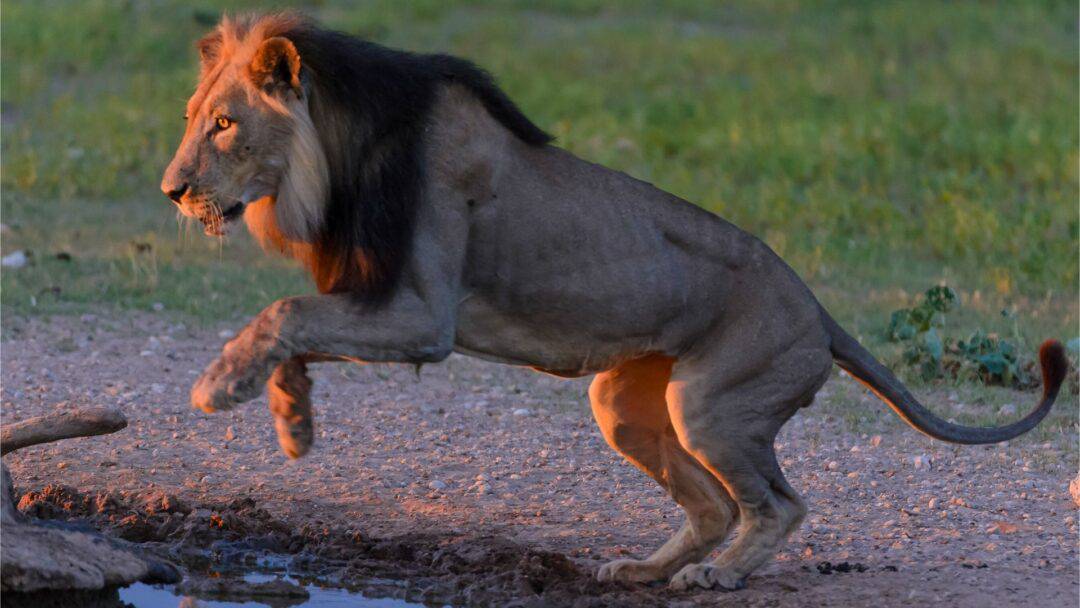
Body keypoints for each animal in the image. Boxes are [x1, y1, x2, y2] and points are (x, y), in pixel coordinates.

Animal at [161, 13, 1068, 591]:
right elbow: (298, 328)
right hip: (626, 404)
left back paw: (716, 577)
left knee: (779, 503)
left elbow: (286, 312)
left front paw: (217, 388)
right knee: (712, 505)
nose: (171, 190)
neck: (334, 158)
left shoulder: (422, 312)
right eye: (195, 117)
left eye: (225, 126)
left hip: (712, 403)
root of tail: (820, 311)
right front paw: (292, 421)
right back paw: (643, 570)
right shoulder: (373, 293)